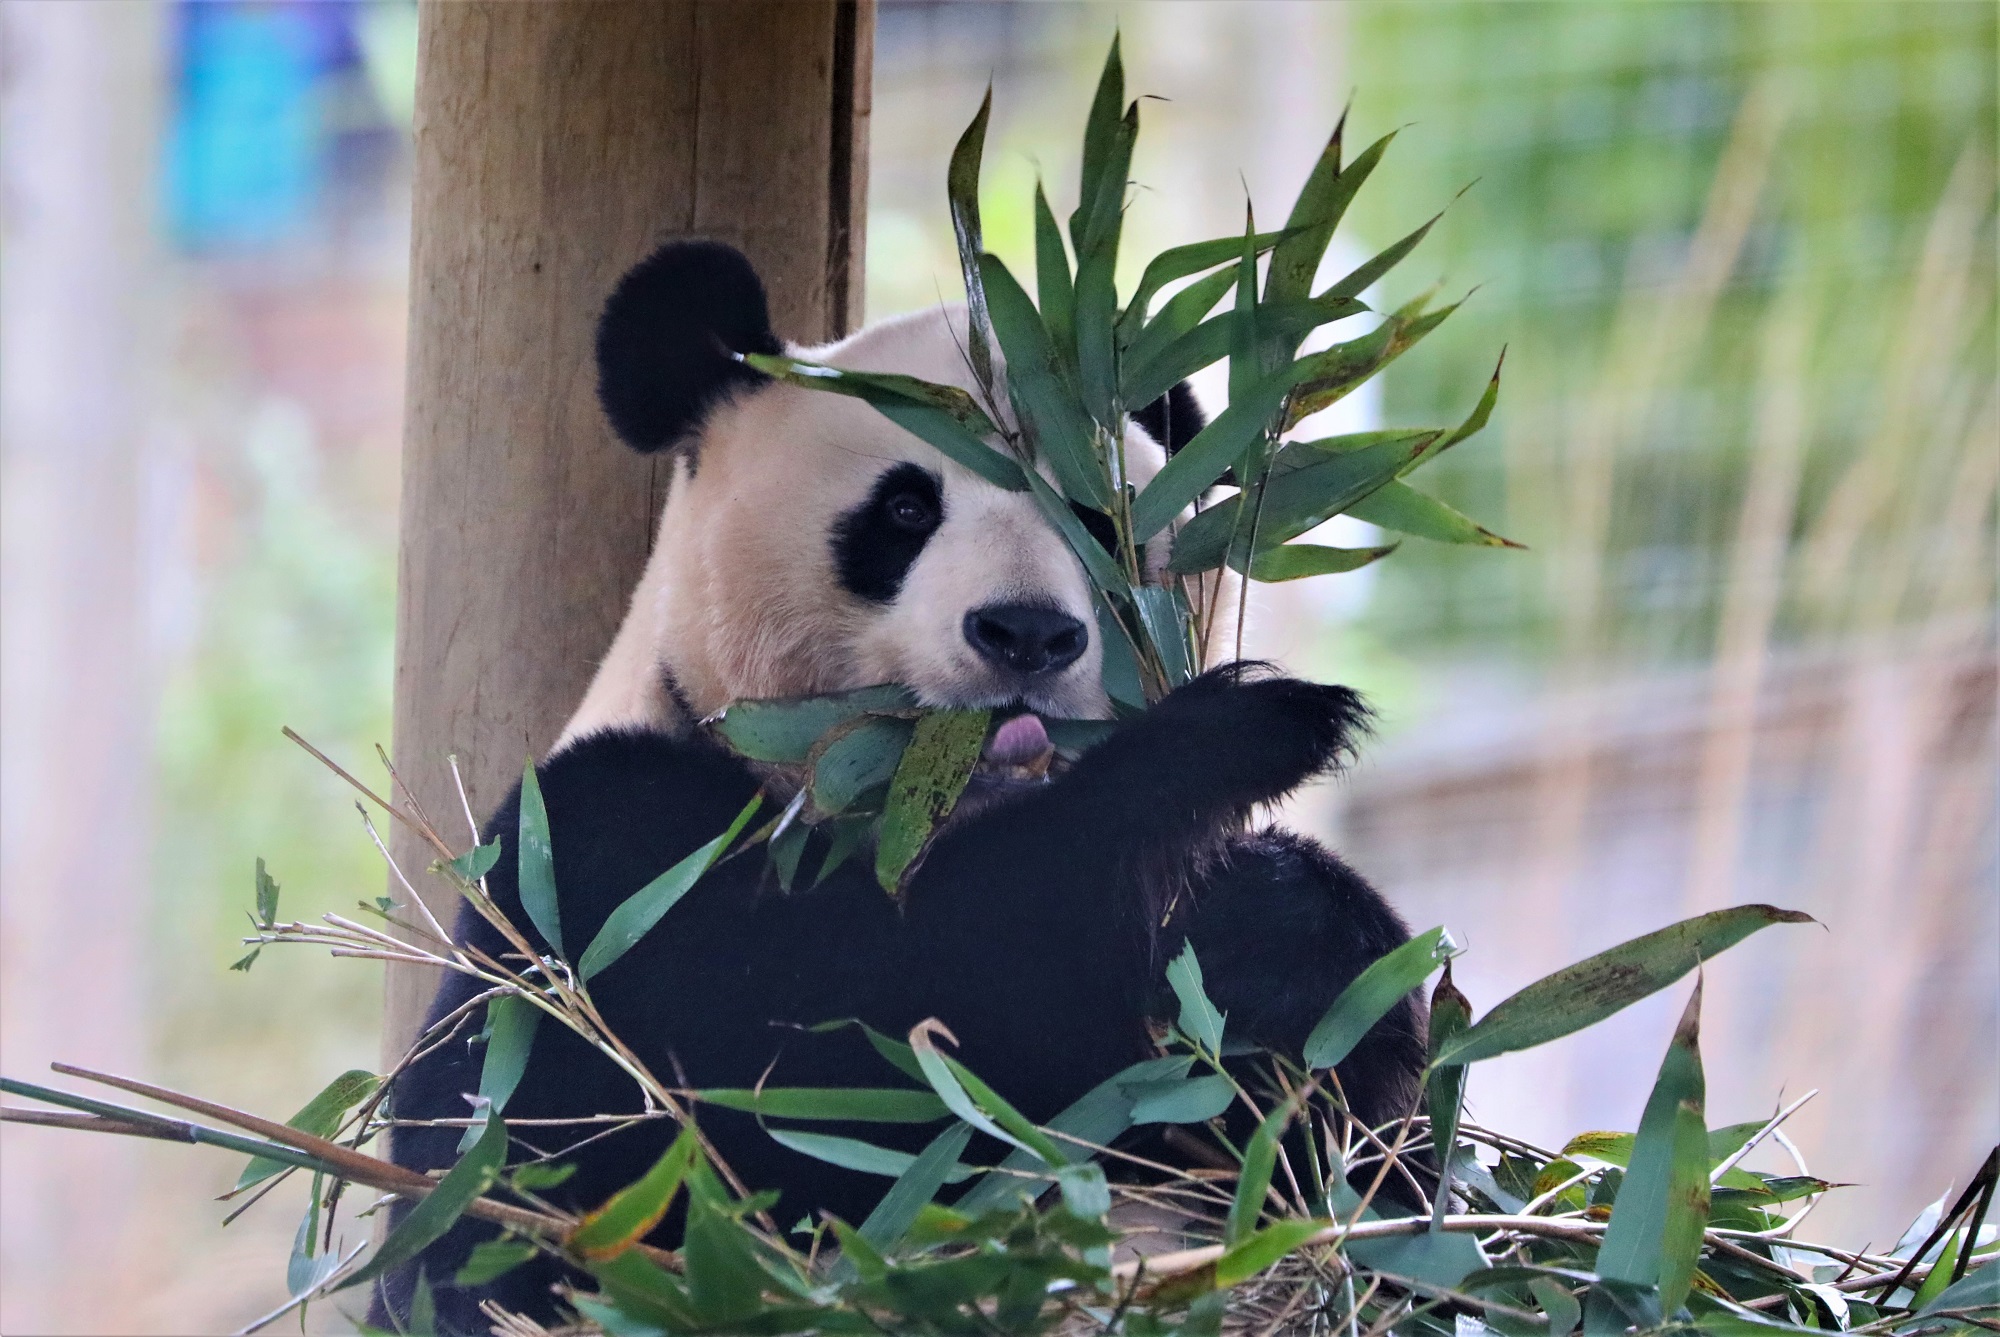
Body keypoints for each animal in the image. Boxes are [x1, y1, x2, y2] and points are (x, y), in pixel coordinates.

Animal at [375, 240, 1427, 1331]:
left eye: (1094, 520)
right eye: (906, 509)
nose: (1026, 634)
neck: (913, 813)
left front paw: (1285, 933)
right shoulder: (603, 852)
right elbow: (807, 1069)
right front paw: (1238, 740)